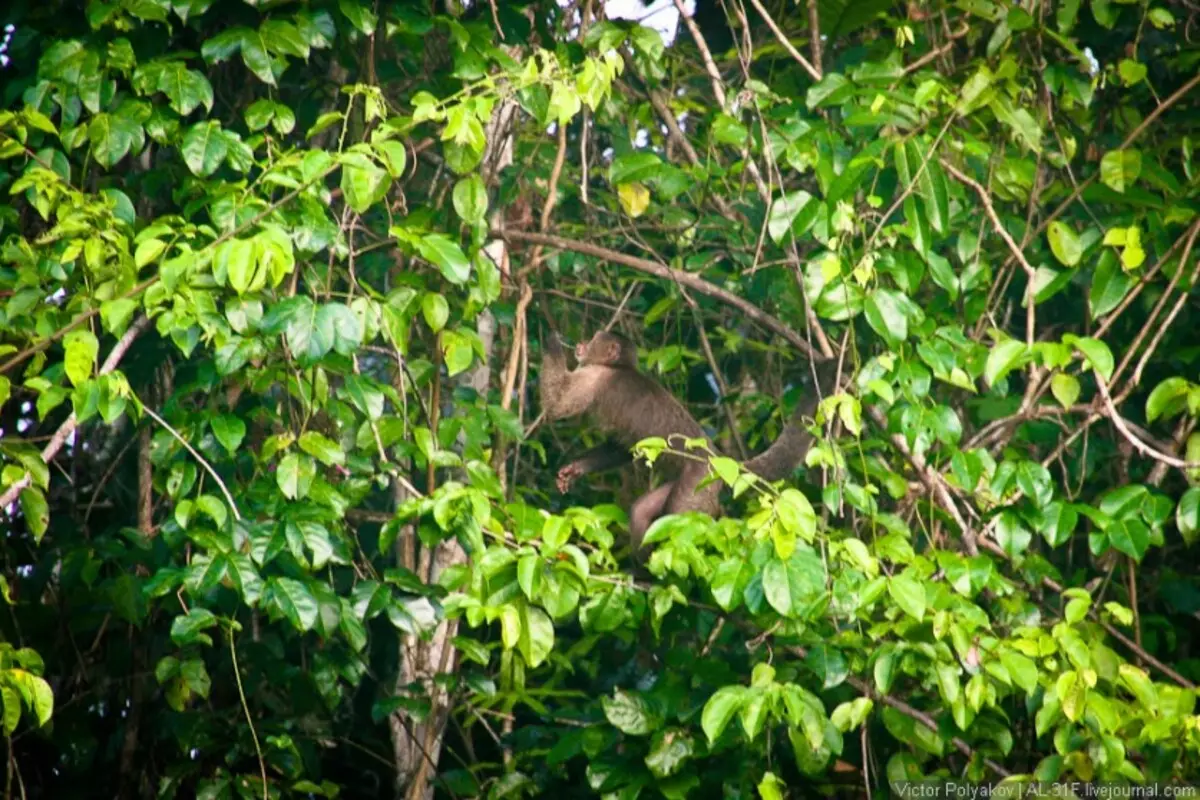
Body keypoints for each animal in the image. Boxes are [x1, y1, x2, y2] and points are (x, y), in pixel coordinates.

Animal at [542, 328, 830, 546]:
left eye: (593, 339)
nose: (581, 343)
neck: (618, 366)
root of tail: (719, 460)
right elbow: (622, 448)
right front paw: (576, 469)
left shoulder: (596, 377)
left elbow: (557, 404)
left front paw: (552, 341)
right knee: (643, 511)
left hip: (699, 480)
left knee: (678, 516)